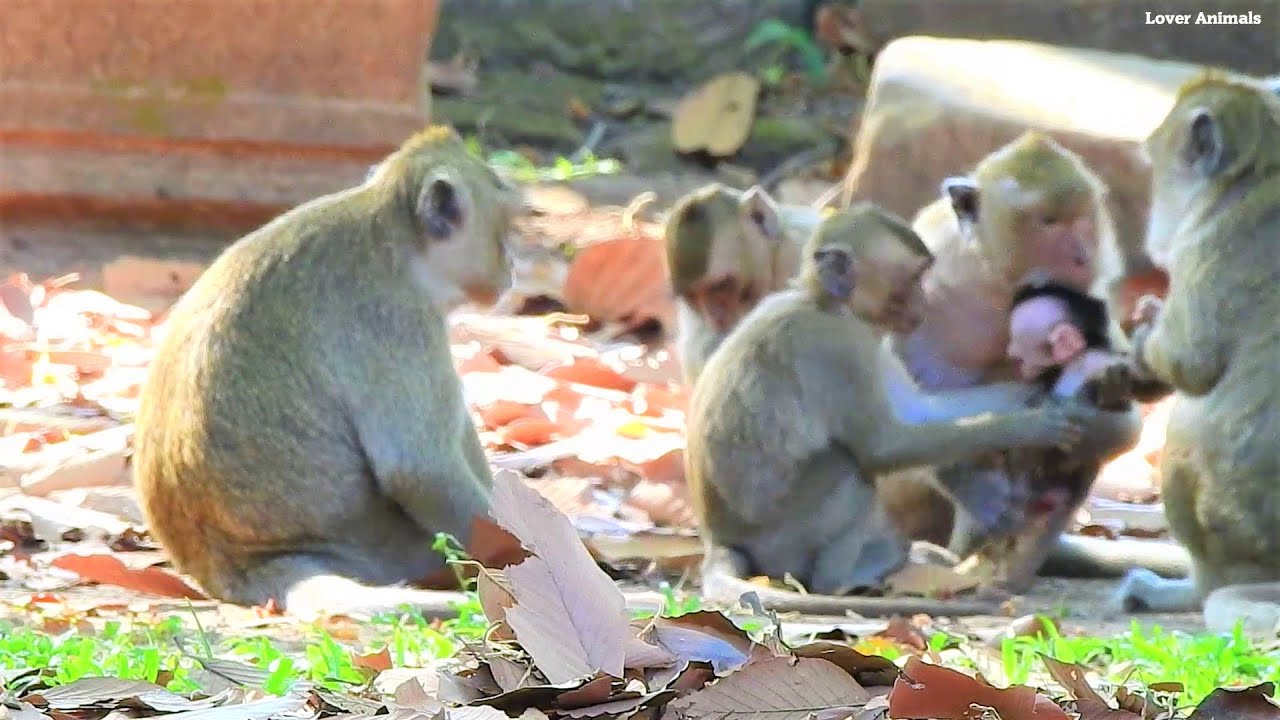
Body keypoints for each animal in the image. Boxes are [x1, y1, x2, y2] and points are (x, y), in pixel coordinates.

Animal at [132, 125, 522, 620]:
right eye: (503, 228)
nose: (510, 267)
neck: (393, 240)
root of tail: (226, 565)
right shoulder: (398, 324)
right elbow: (418, 471)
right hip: (391, 546)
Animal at [685, 203, 1093, 616]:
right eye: (915, 277)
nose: (925, 304)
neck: (826, 303)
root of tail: (718, 541)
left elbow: (920, 410)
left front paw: (1035, 393)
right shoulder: (842, 349)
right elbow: (885, 448)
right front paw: (1031, 425)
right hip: (784, 540)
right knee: (848, 468)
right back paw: (850, 576)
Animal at [1109, 73, 1280, 636]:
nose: (1149, 218)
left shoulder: (1207, 245)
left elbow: (1190, 362)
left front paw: (1147, 333)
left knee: (1187, 424)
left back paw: (1192, 589)